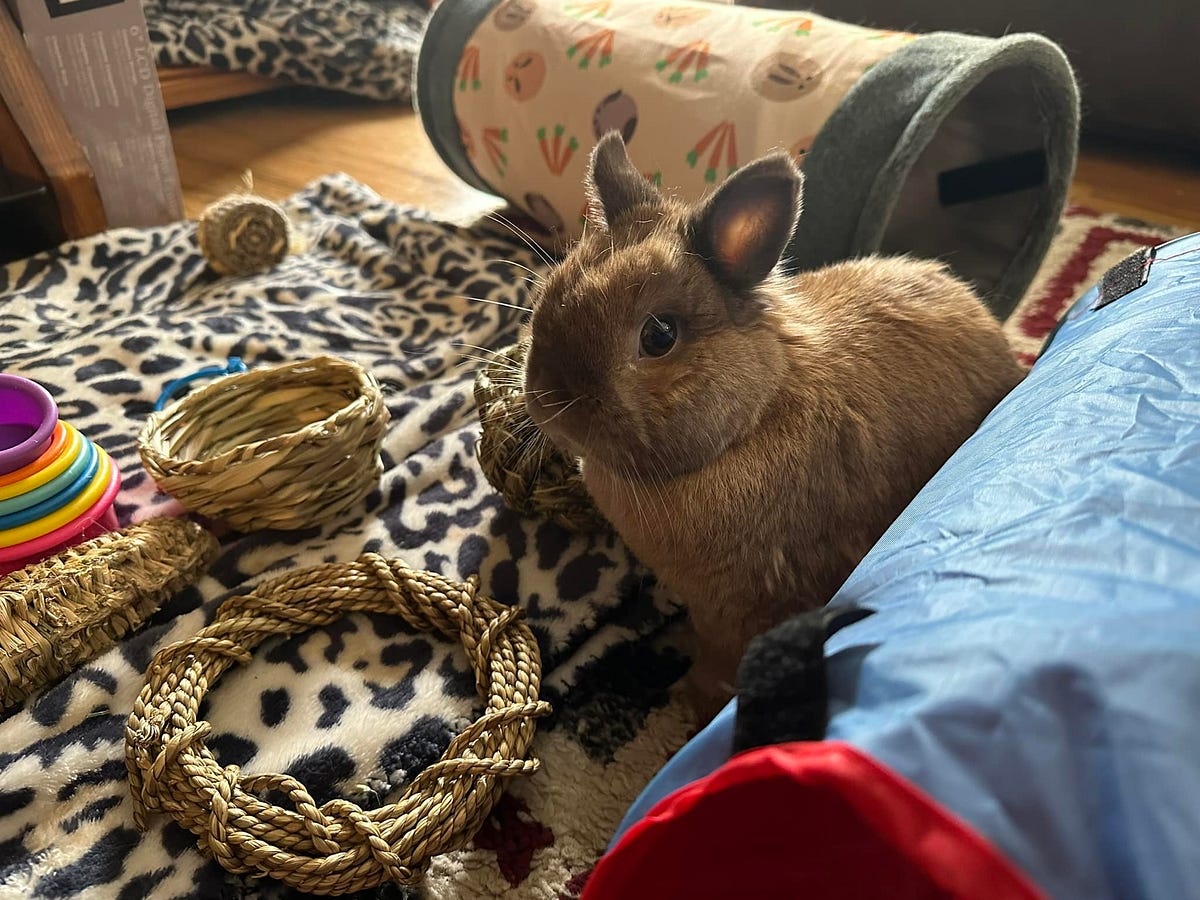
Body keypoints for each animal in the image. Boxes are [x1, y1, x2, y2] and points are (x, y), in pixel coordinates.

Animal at [521, 131, 1025, 722]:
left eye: (659, 335)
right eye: (550, 288)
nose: (546, 402)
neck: (749, 422)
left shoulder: (739, 610)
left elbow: (721, 660)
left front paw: (692, 701)